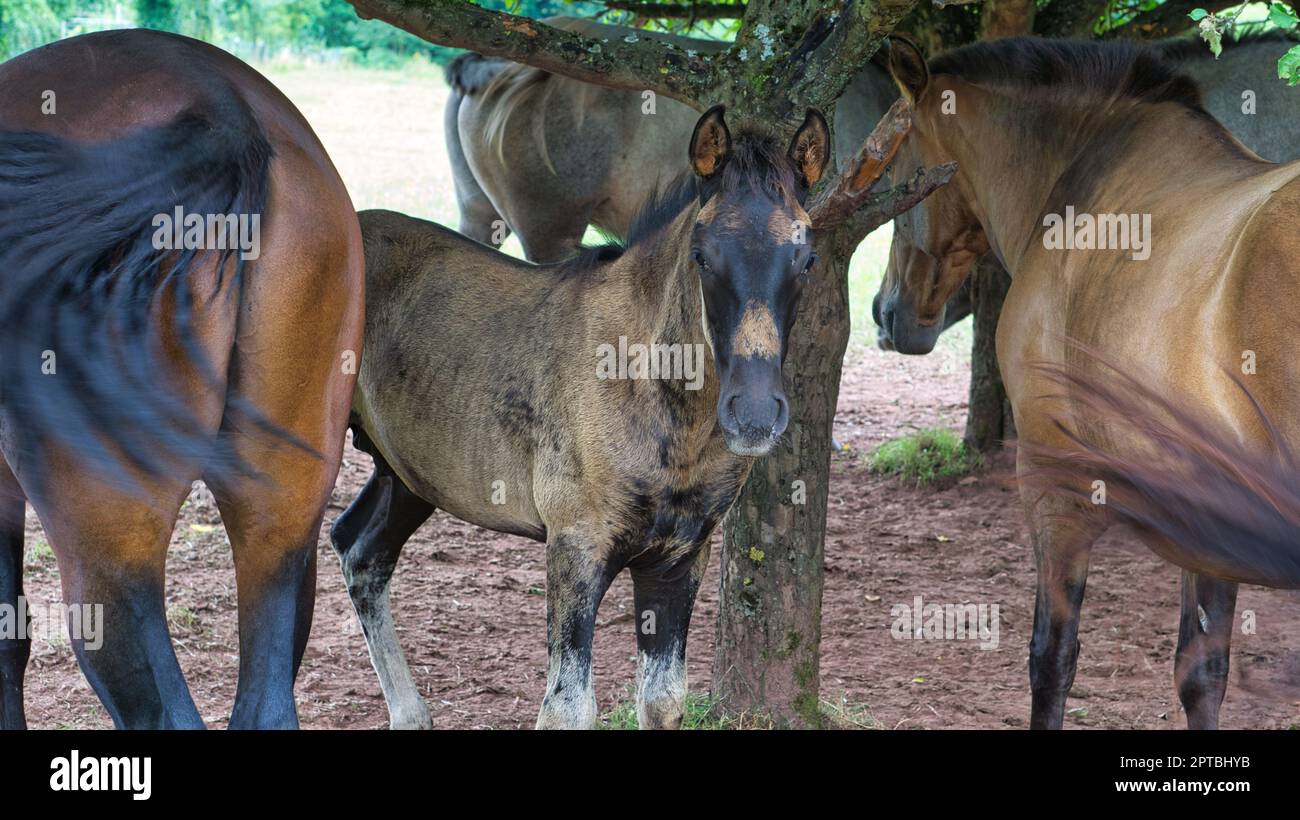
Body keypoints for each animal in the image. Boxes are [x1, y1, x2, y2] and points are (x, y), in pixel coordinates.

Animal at [332, 106, 830, 729]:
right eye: (703, 256)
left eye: (806, 259)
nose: (756, 414)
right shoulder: (575, 549)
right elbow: (567, 707)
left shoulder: (680, 559)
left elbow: (663, 699)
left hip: (407, 473)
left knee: (360, 551)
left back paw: (411, 713)